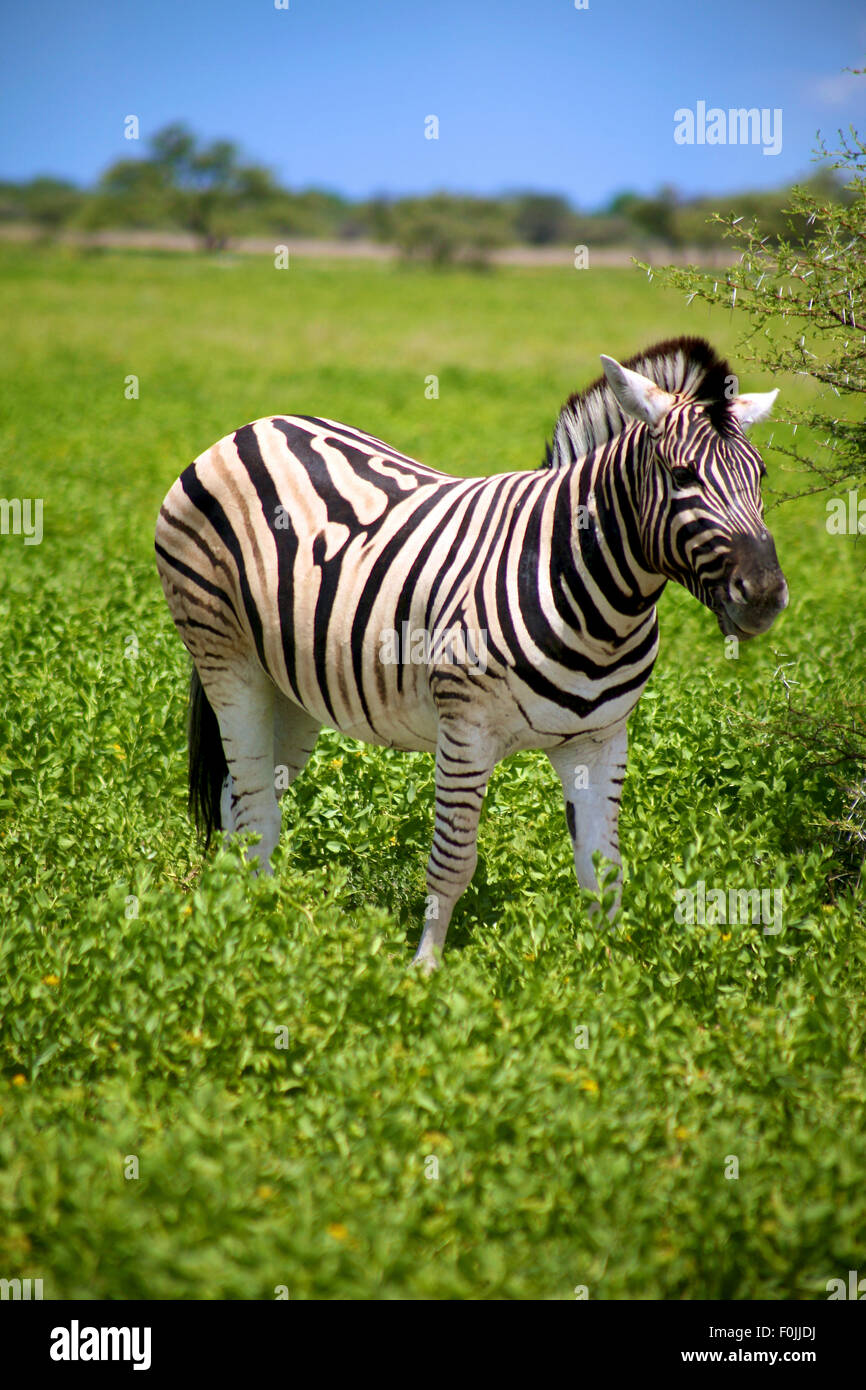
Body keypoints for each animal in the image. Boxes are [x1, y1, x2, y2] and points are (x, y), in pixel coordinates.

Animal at [155, 336, 788, 972]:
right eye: (682, 476)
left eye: (761, 476)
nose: (765, 595)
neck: (588, 593)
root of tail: (254, 426)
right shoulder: (466, 730)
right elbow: (453, 861)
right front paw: (426, 970)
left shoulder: (599, 738)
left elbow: (602, 870)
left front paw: (606, 972)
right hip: (226, 657)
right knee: (254, 808)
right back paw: (262, 934)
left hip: (290, 685)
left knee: (240, 801)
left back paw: (249, 911)